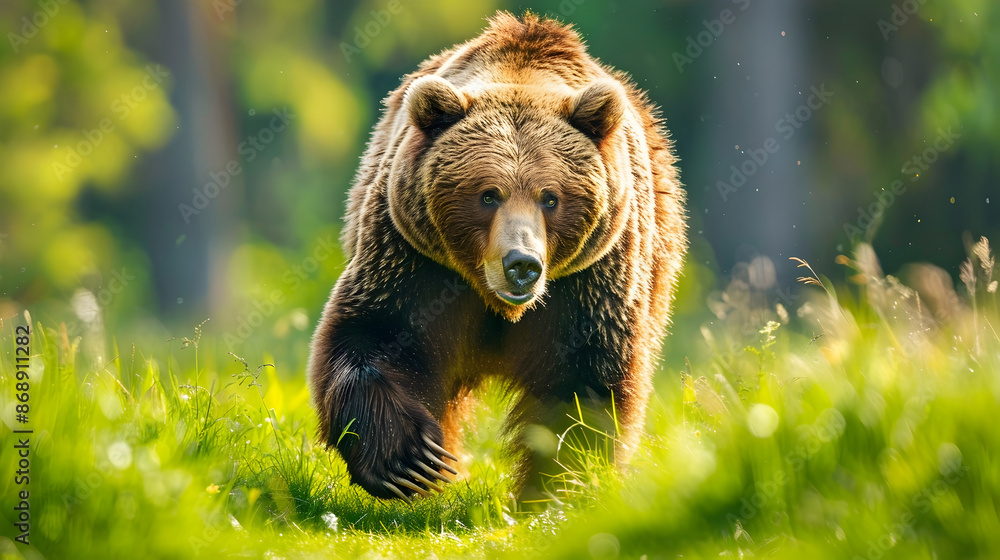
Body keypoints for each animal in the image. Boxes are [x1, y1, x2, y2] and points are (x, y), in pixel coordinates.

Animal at [309, 12, 686, 501]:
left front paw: (556, 487)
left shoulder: (591, 281)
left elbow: (585, 382)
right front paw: (410, 461)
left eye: (551, 197)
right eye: (488, 194)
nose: (521, 265)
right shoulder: (414, 260)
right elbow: (374, 334)